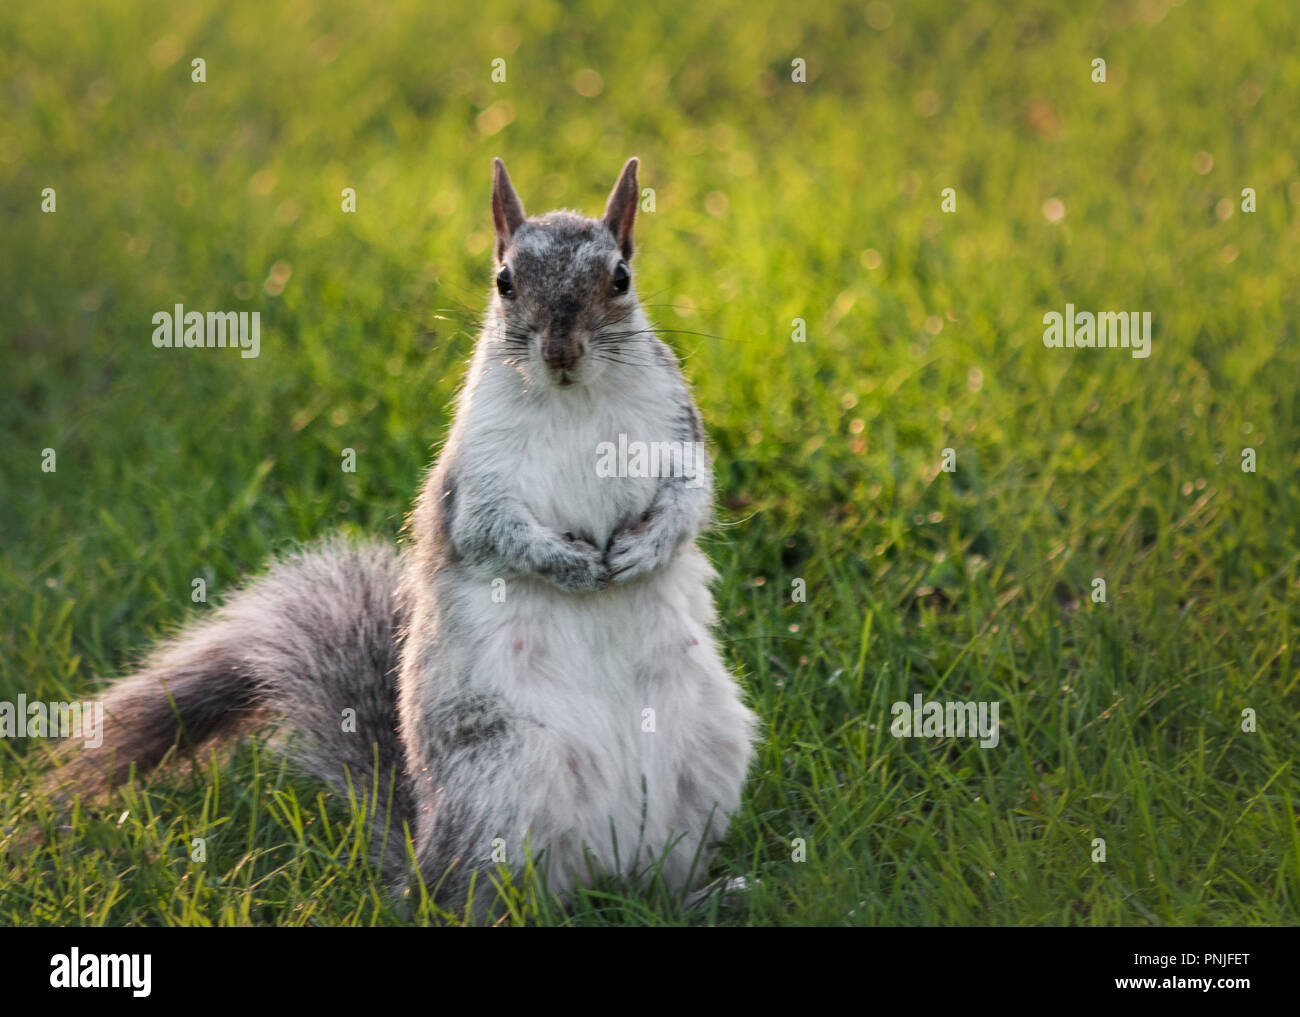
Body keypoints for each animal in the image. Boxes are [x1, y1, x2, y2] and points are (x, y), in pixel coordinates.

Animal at [48, 158, 759, 916]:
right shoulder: (473, 484)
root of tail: (421, 864)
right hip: (501, 781)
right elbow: (492, 532)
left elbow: (689, 499)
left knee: (660, 876)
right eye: (504, 281)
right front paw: (567, 565)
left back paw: (708, 892)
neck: (573, 400)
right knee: (488, 895)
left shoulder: (677, 434)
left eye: (621, 277)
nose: (561, 350)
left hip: (708, 757)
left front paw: (643, 549)